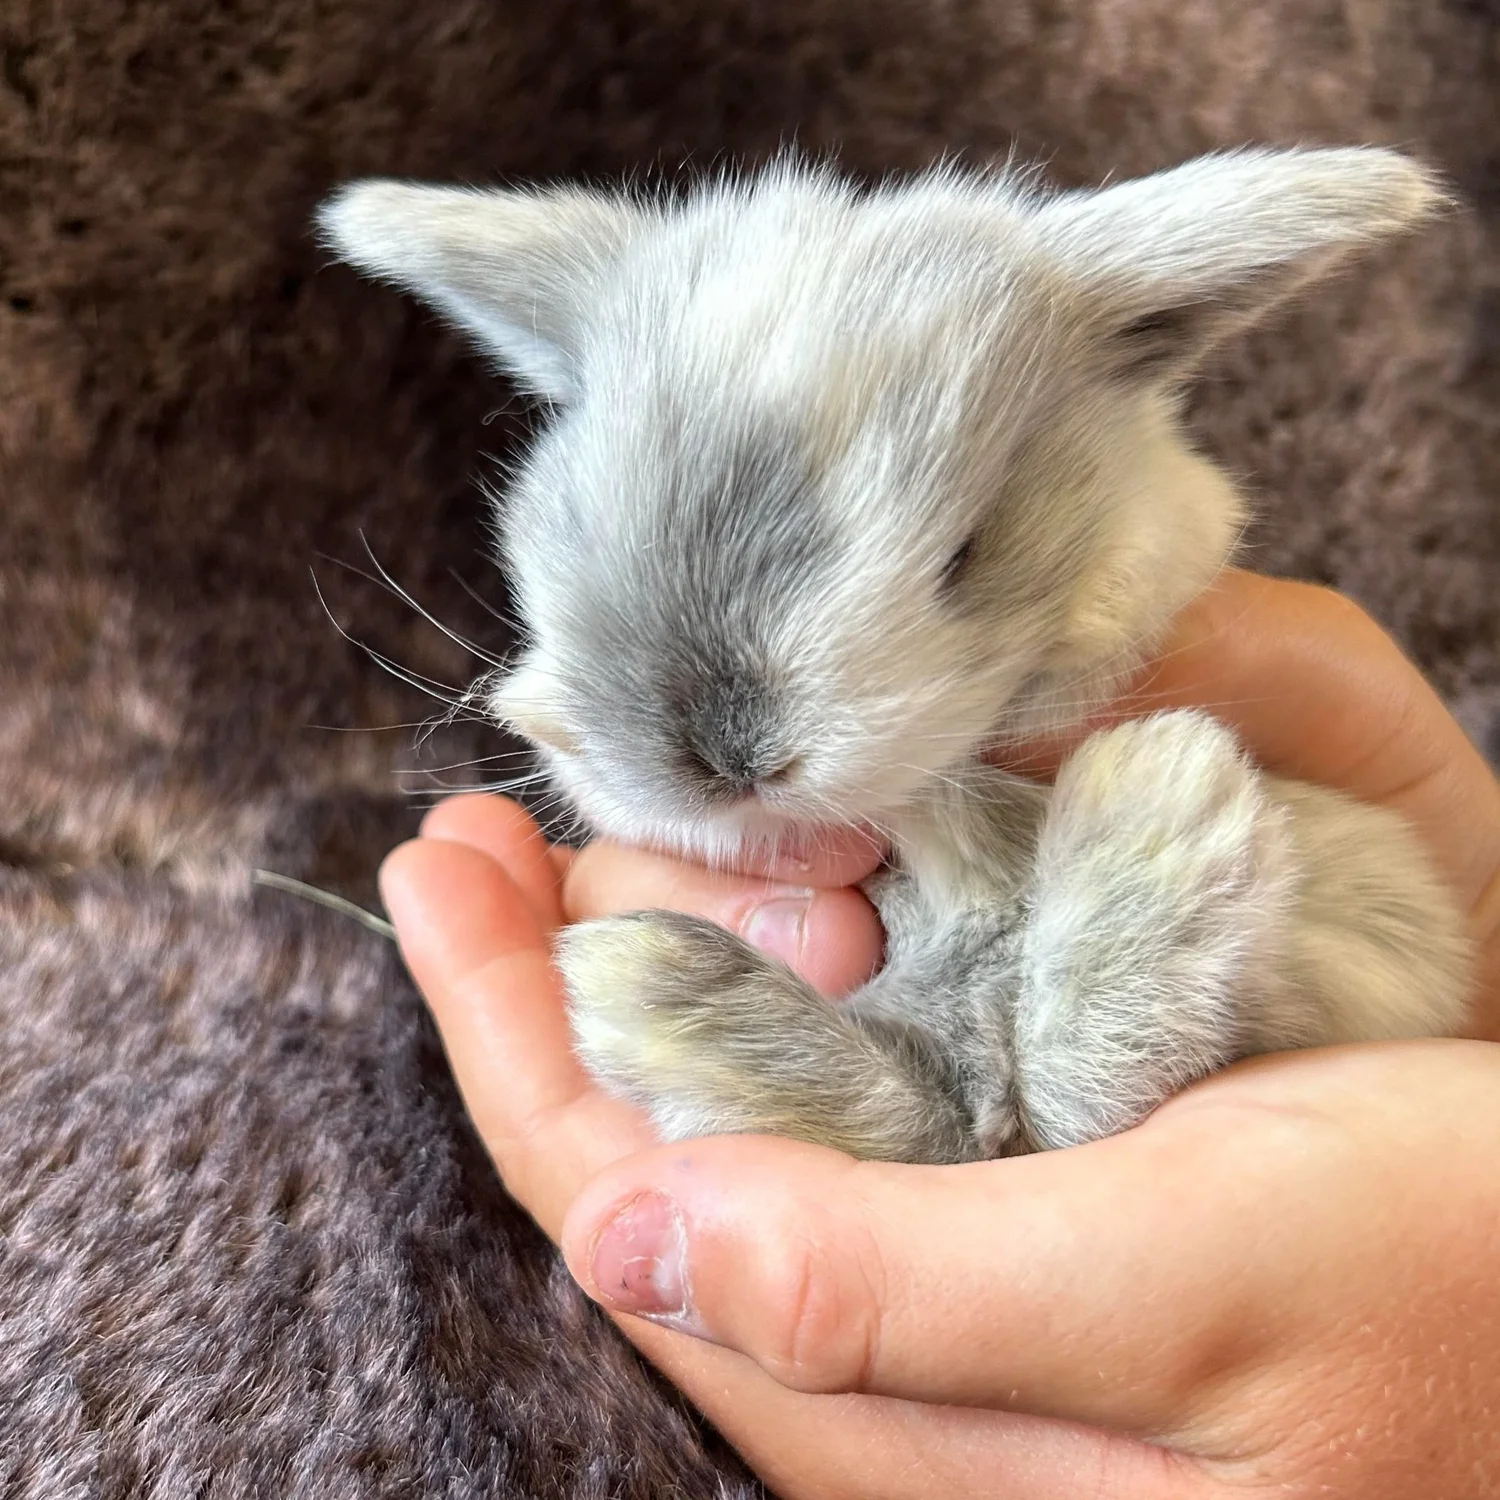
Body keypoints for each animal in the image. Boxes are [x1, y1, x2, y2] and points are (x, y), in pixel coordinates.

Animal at [320, 148, 1475, 1162]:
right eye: (574, 512)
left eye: (966, 553)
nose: (727, 760)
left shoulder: (1384, 938)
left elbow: (1088, 1096)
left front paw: (1163, 782)